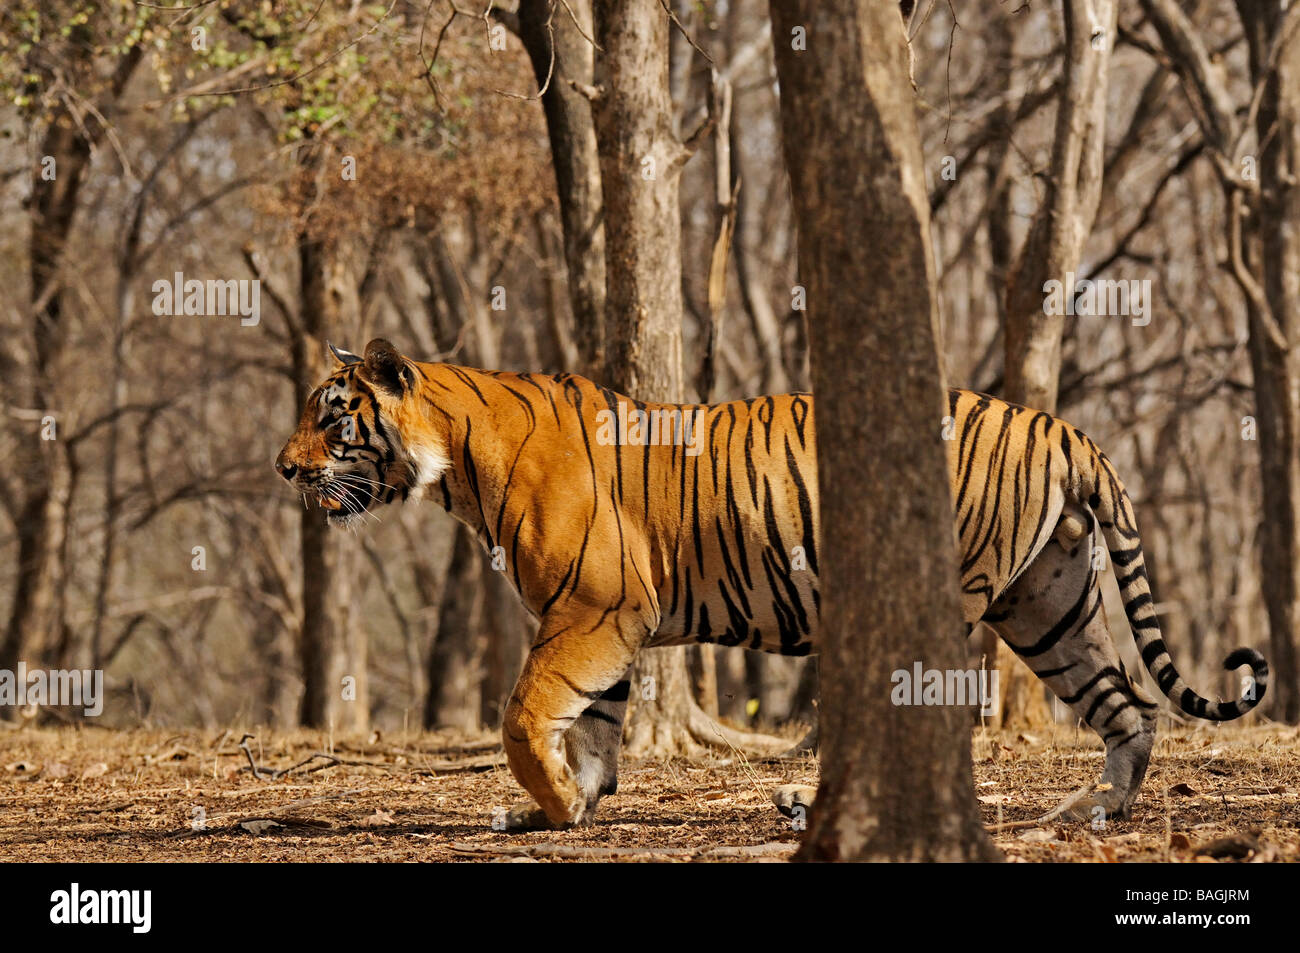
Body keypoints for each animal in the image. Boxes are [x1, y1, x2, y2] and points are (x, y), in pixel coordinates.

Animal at [275, 338, 1268, 831]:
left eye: (333, 418)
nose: (283, 468)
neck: (458, 465)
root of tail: (1067, 428)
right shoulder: (604, 626)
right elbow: (596, 724)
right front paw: (572, 805)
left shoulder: (594, 608)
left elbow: (525, 713)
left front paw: (550, 799)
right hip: (1051, 606)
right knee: (1130, 709)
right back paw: (1091, 810)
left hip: (962, 601)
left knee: (941, 713)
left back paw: (812, 806)